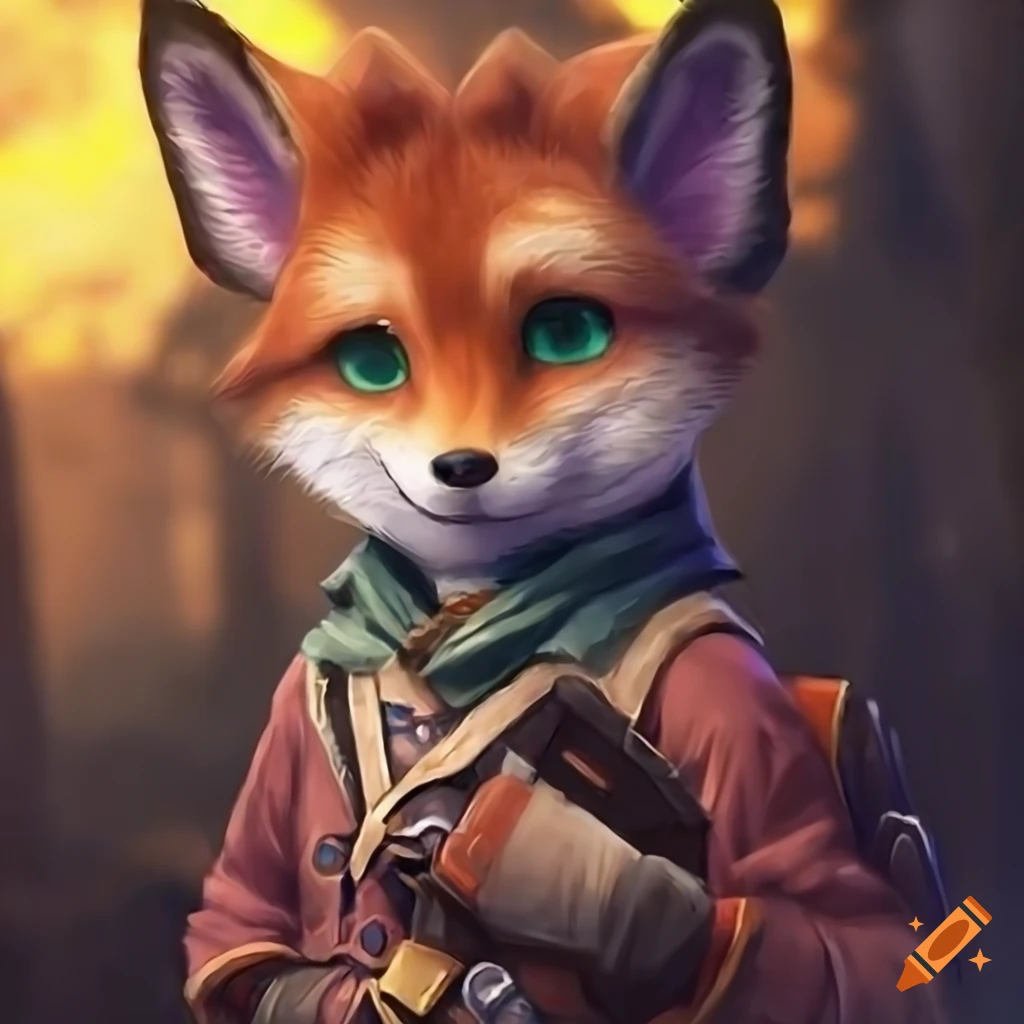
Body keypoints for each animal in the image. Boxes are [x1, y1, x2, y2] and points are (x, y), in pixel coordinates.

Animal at [139, 2, 949, 1024]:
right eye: (372, 360)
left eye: (566, 332)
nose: (461, 466)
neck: (458, 632)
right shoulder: (289, 729)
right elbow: (237, 927)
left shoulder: (737, 705)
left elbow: (852, 947)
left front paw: (550, 867)